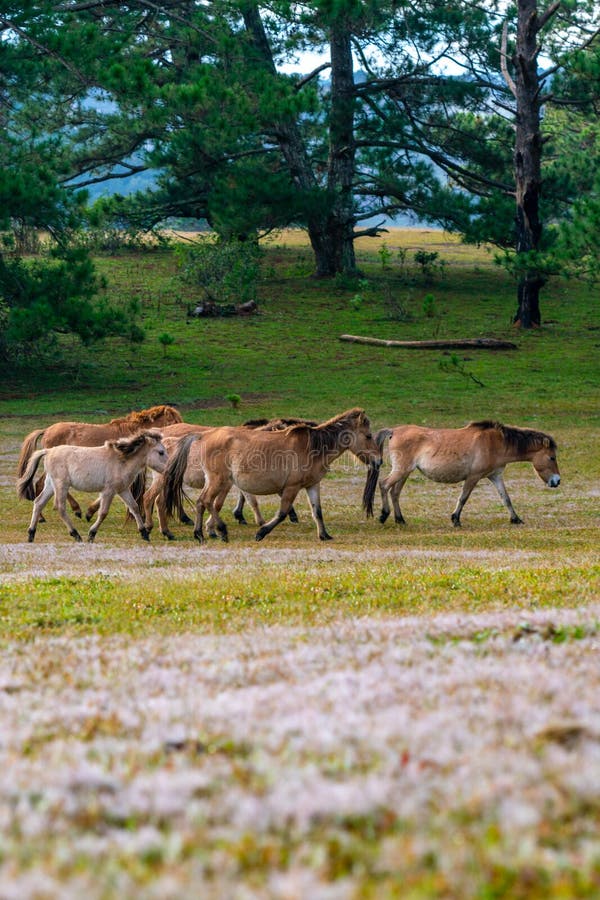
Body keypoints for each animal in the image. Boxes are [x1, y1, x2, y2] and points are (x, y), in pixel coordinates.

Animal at [17, 430, 168, 543]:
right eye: (161, 452)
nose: (168, 470)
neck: (122, 461)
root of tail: (48, 451)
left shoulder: (122, 490)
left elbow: (134, 507)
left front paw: (144, 534)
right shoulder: (109, 491)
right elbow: (103, 512)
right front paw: (91, 534)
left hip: (50, 485)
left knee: (38, 503)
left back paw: (31, 534)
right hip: (61, 485)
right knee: (60, 507)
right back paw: (76, 534)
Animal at [163, 408, 382, 543]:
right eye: (368, 436)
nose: (379, 461)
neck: (313, 446)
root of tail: (203, 435)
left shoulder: (312, 486)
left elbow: (317, 512)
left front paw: (324, 535)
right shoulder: (292, 487)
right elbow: (283, 513)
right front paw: (261, 532)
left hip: (218, 481)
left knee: (204, 503)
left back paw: (202, 533)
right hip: (218, 480)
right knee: (205, 501)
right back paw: (217, 531)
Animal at [376, 420, 560, 527]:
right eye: (552, 457)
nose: (557, 481)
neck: (496, 443)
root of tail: (393, 431)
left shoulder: (495, 476)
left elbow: (506, 498)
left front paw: (516, 519)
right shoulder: (473, 477)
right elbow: (463, 498)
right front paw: (455, 519)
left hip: (404, 473)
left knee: (395, 492)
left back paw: (400, 519)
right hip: (401, 471)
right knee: (384, 485)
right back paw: (384, 515)